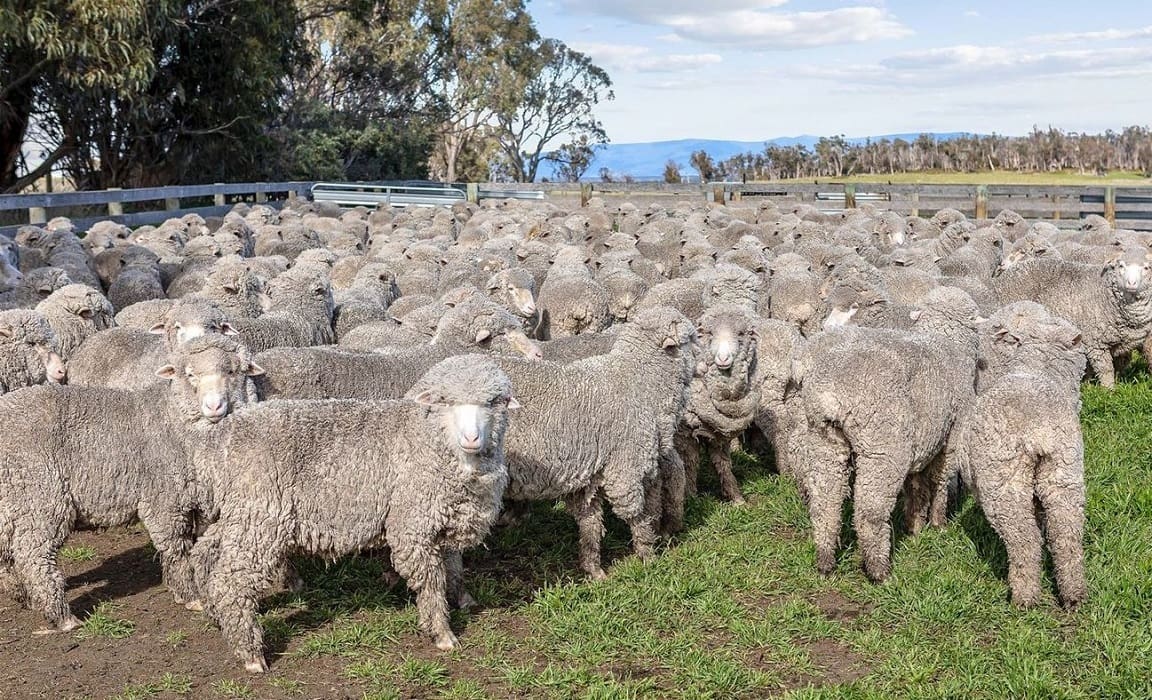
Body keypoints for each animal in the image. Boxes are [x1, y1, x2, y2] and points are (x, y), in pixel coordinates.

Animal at [0, 336, 260, 632]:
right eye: (190, 374)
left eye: (232, 371)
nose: (214, 406)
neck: (171, 418)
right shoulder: (164, 501)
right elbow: (177, 549)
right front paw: (189, 595)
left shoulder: (199, 500)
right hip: (41, 499)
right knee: (34, 557)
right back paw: (62, 616)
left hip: (12, 501)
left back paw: (22, 594)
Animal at [189, 354, 517, 672]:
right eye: (445, 401)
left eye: (494, 402)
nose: (472, 438)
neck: (423, 437)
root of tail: (220, 440)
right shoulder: (413, 527)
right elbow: (431, 582)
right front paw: (443, 633)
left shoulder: (445, 521)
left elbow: (453, 568)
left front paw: (462, 598)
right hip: (260, 516)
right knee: (231, 581)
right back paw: (251, 653)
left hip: (240, 514)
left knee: (205, 554)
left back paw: (215, 614)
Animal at [789, 287, 982, 581]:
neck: (946, 341)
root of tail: (830, 393)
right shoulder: (952, 433)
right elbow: (940, 481)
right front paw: (938, 523)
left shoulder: (922, 439)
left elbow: (916, 484)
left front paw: (915, 525)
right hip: (883, 448)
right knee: (870, 511)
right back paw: (879, 570)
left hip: (824, 440)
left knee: (825, 501)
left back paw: (825, 561)